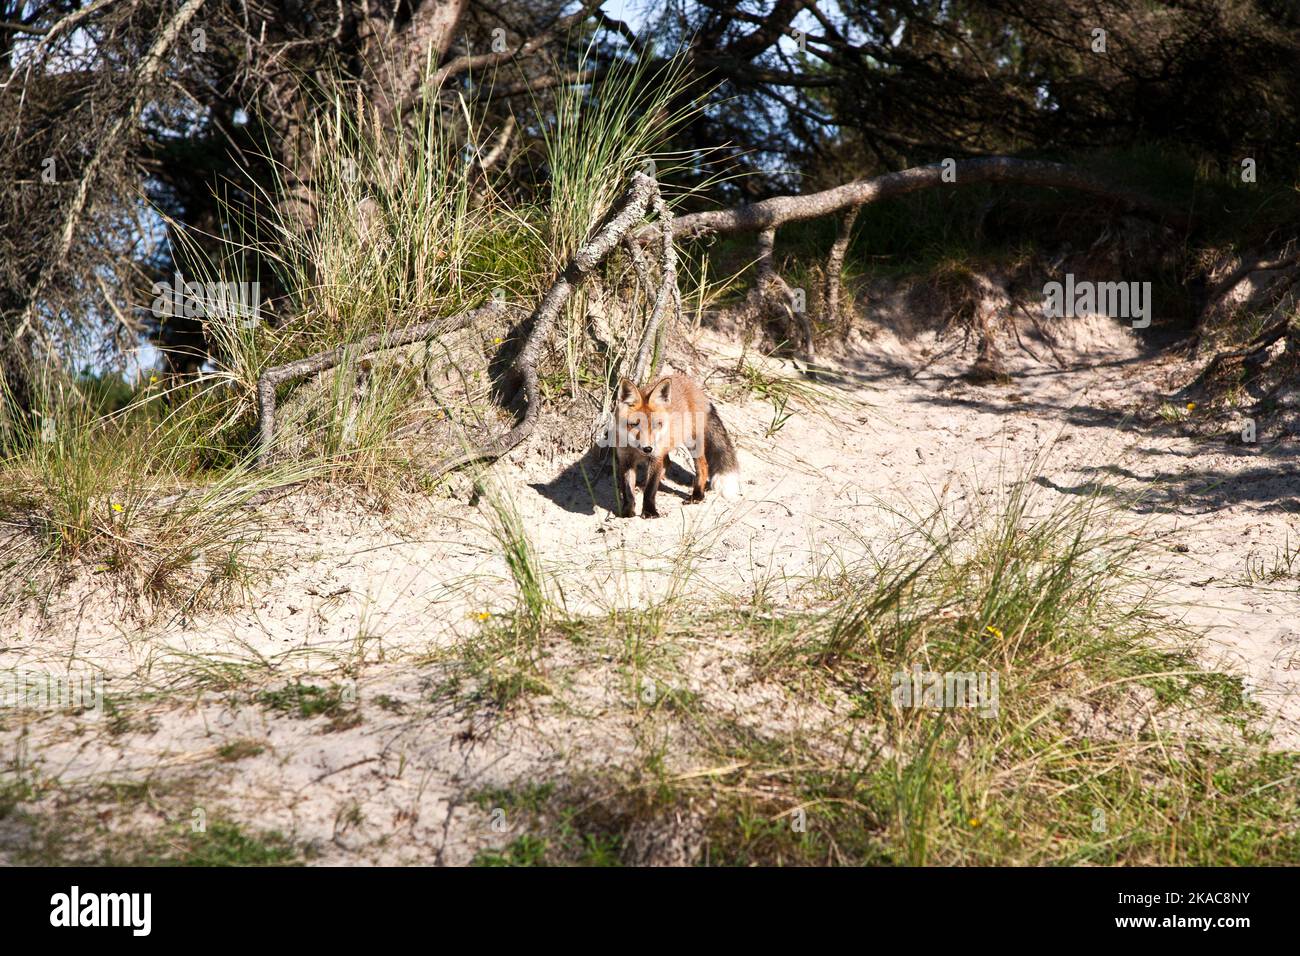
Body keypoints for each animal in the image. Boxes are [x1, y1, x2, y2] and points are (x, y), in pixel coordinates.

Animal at [614, 373, 741, 518]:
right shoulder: (625, 459)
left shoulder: (655, 457)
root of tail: (694, 386)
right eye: (634, 424)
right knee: (667, 462)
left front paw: (650, 512)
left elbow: (650, 490)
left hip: (691, 442)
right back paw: (643, 484)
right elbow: (627, 490)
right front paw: (627, 511)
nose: (648, 448)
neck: (636, 451)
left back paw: (697, 496)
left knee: (703, 465)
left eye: (657, 424)